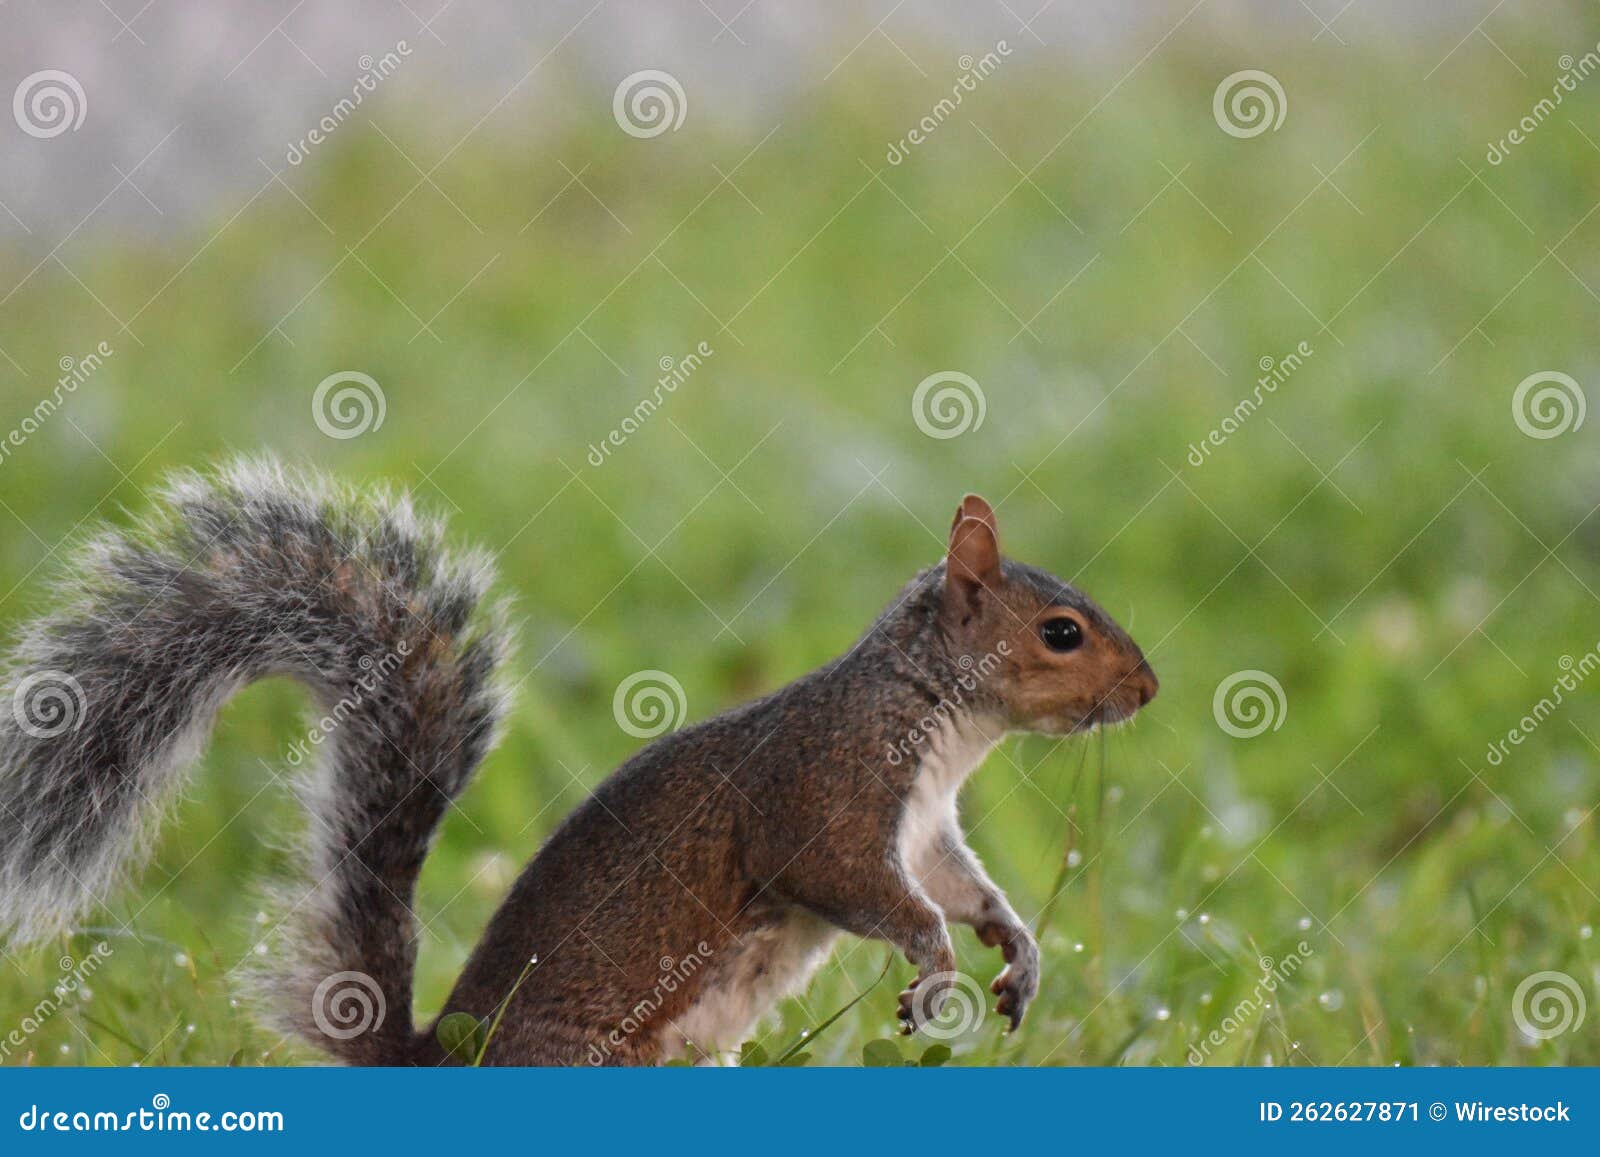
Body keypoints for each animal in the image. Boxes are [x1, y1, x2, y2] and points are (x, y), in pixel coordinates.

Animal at [0, 460, 1157, 1065]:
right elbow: (862, 887)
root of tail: (437, 1058)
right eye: (1060, 633)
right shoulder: (825, 793)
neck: (940, 720)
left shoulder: (926, 826)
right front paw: (934, 963)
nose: (1147, 691)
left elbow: (962, 884)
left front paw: (1014, 945)